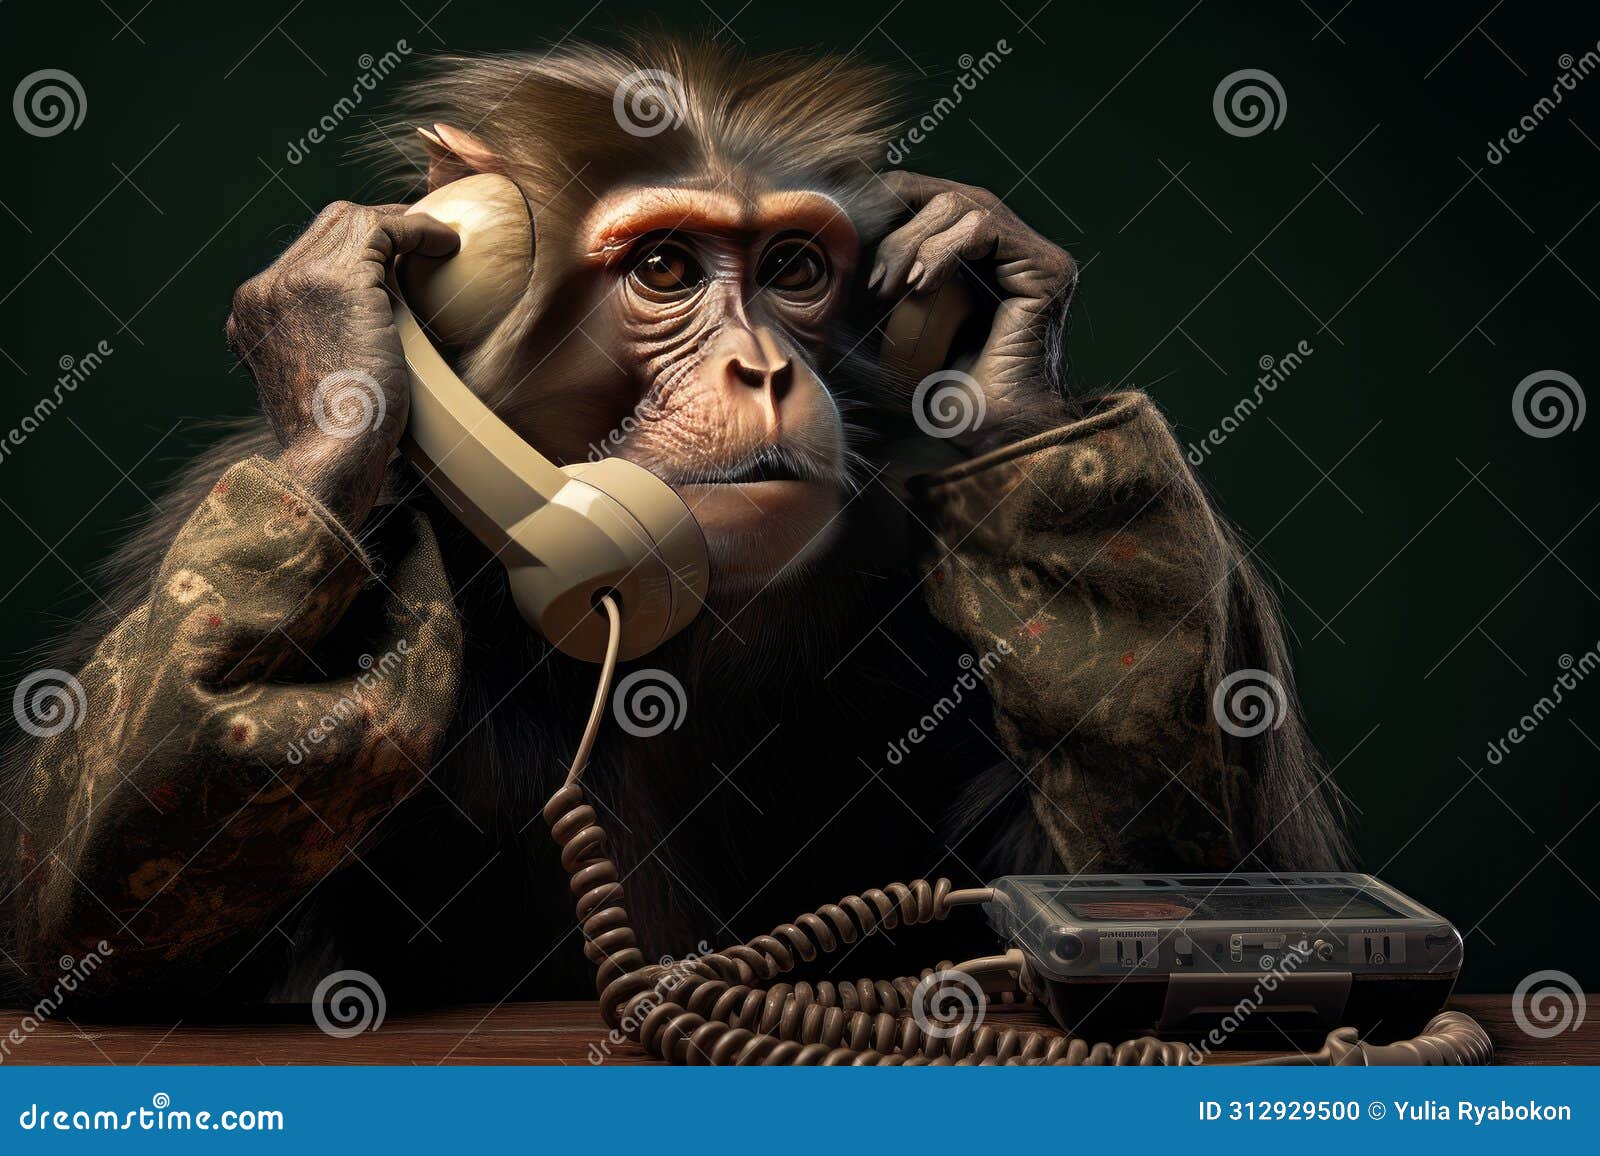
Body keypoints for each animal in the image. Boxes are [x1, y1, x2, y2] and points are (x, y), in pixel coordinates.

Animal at [1, 36, 1347, 1010]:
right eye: (664, 270)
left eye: (795, 269)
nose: (764, 367)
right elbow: (78, 913)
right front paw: (325, 313)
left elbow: (1176, 869)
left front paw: (998, 313)